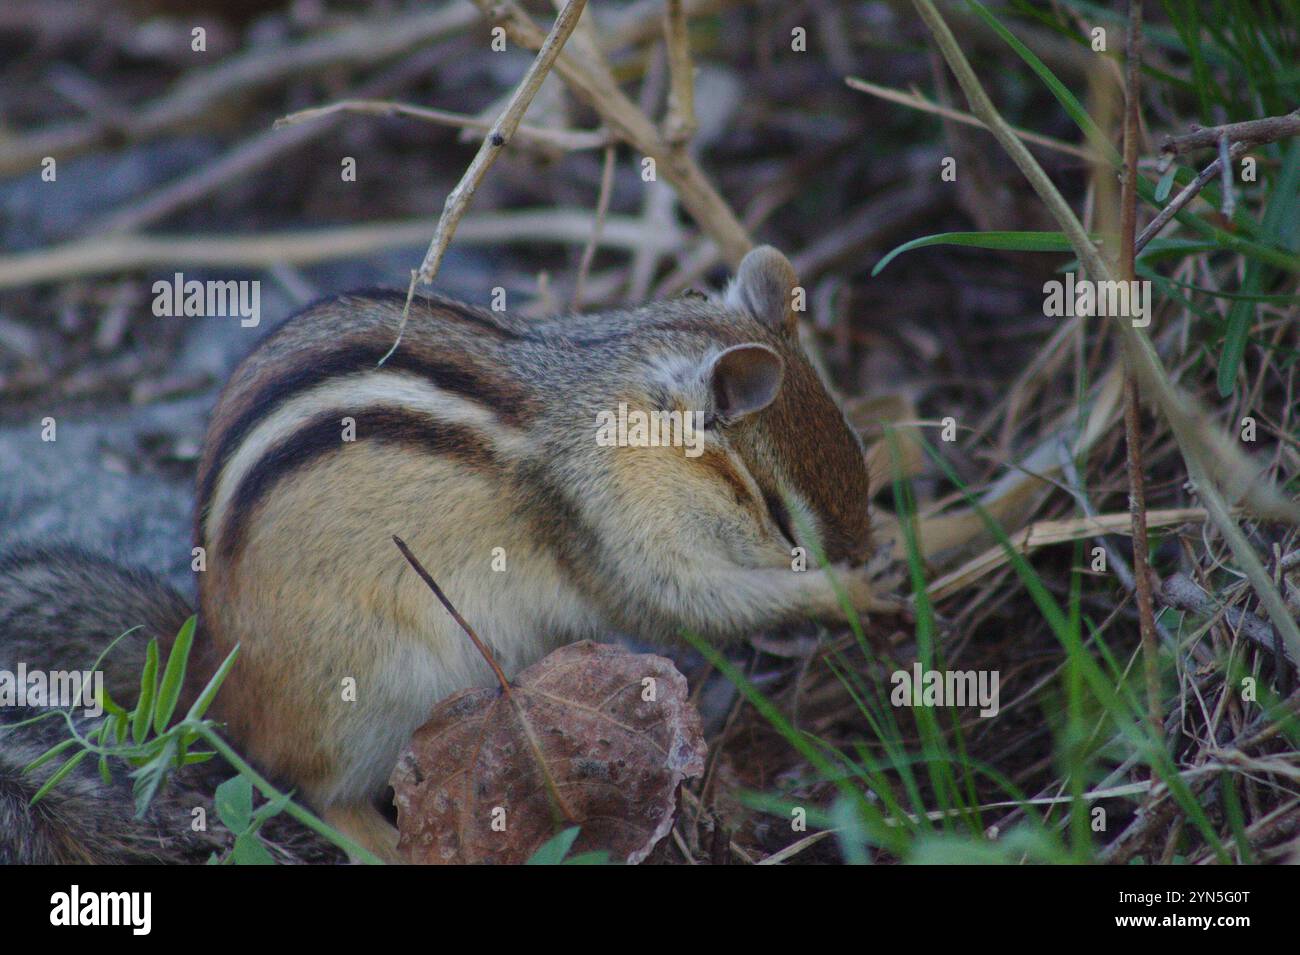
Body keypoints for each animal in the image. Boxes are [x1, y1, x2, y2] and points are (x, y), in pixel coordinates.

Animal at [1, 246, 891, 863]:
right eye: (777, 510)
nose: (862, 545)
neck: (611, 414)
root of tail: (216, 673)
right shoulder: (611, 537)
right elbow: (690, 606)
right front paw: (854, 593)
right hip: (376, 685)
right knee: (322, 795)